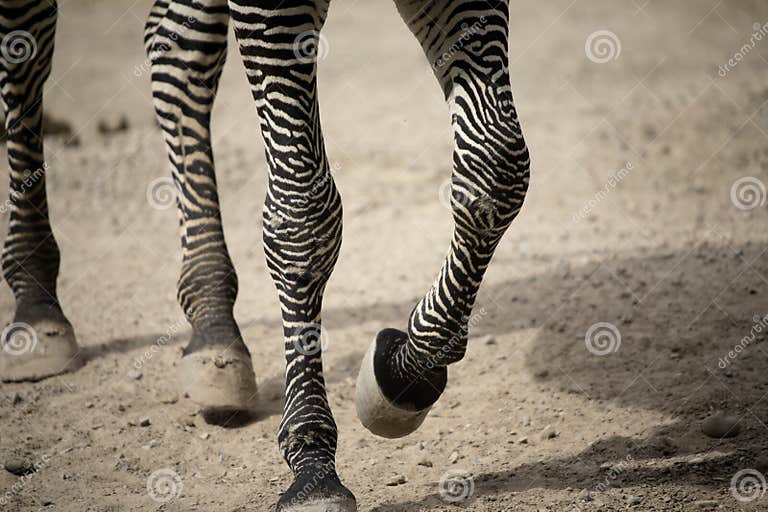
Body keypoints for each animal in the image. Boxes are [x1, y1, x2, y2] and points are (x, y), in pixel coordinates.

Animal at [0, 0, 530, 510]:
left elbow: (497, 170)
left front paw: (404, 372)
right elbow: (302, 211)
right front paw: (314, 467)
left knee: (177, 45)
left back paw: (214, 328)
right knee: (26, 49)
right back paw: (36, 303)